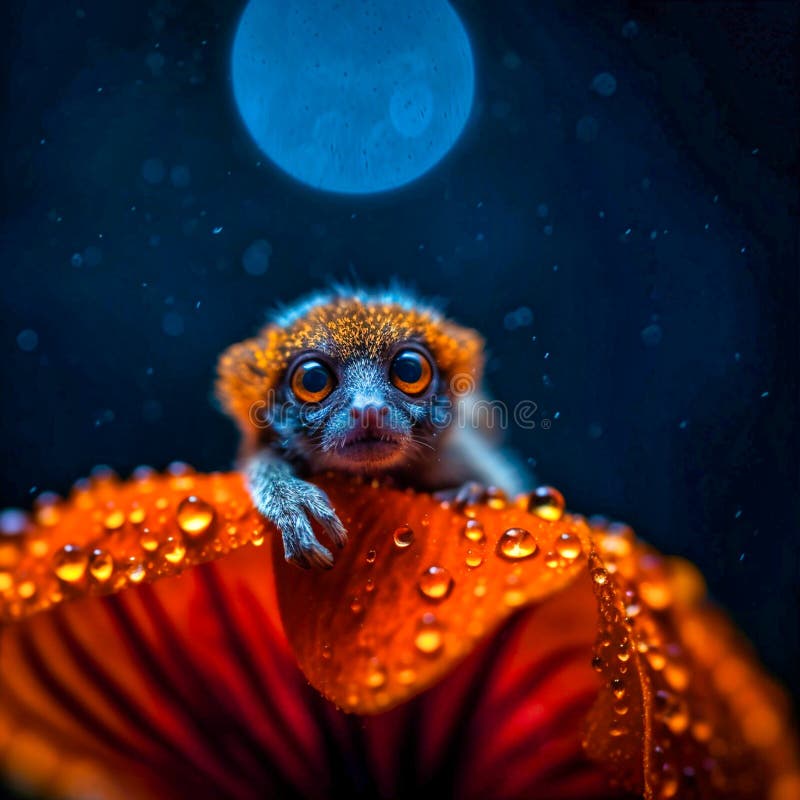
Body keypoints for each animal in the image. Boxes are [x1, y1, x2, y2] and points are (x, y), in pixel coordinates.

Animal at [216, 286, 533, 569]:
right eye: (313, 380)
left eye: (409, 371)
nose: (368, 409)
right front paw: (290, 500)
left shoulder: (460, 453)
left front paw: (473, 493)